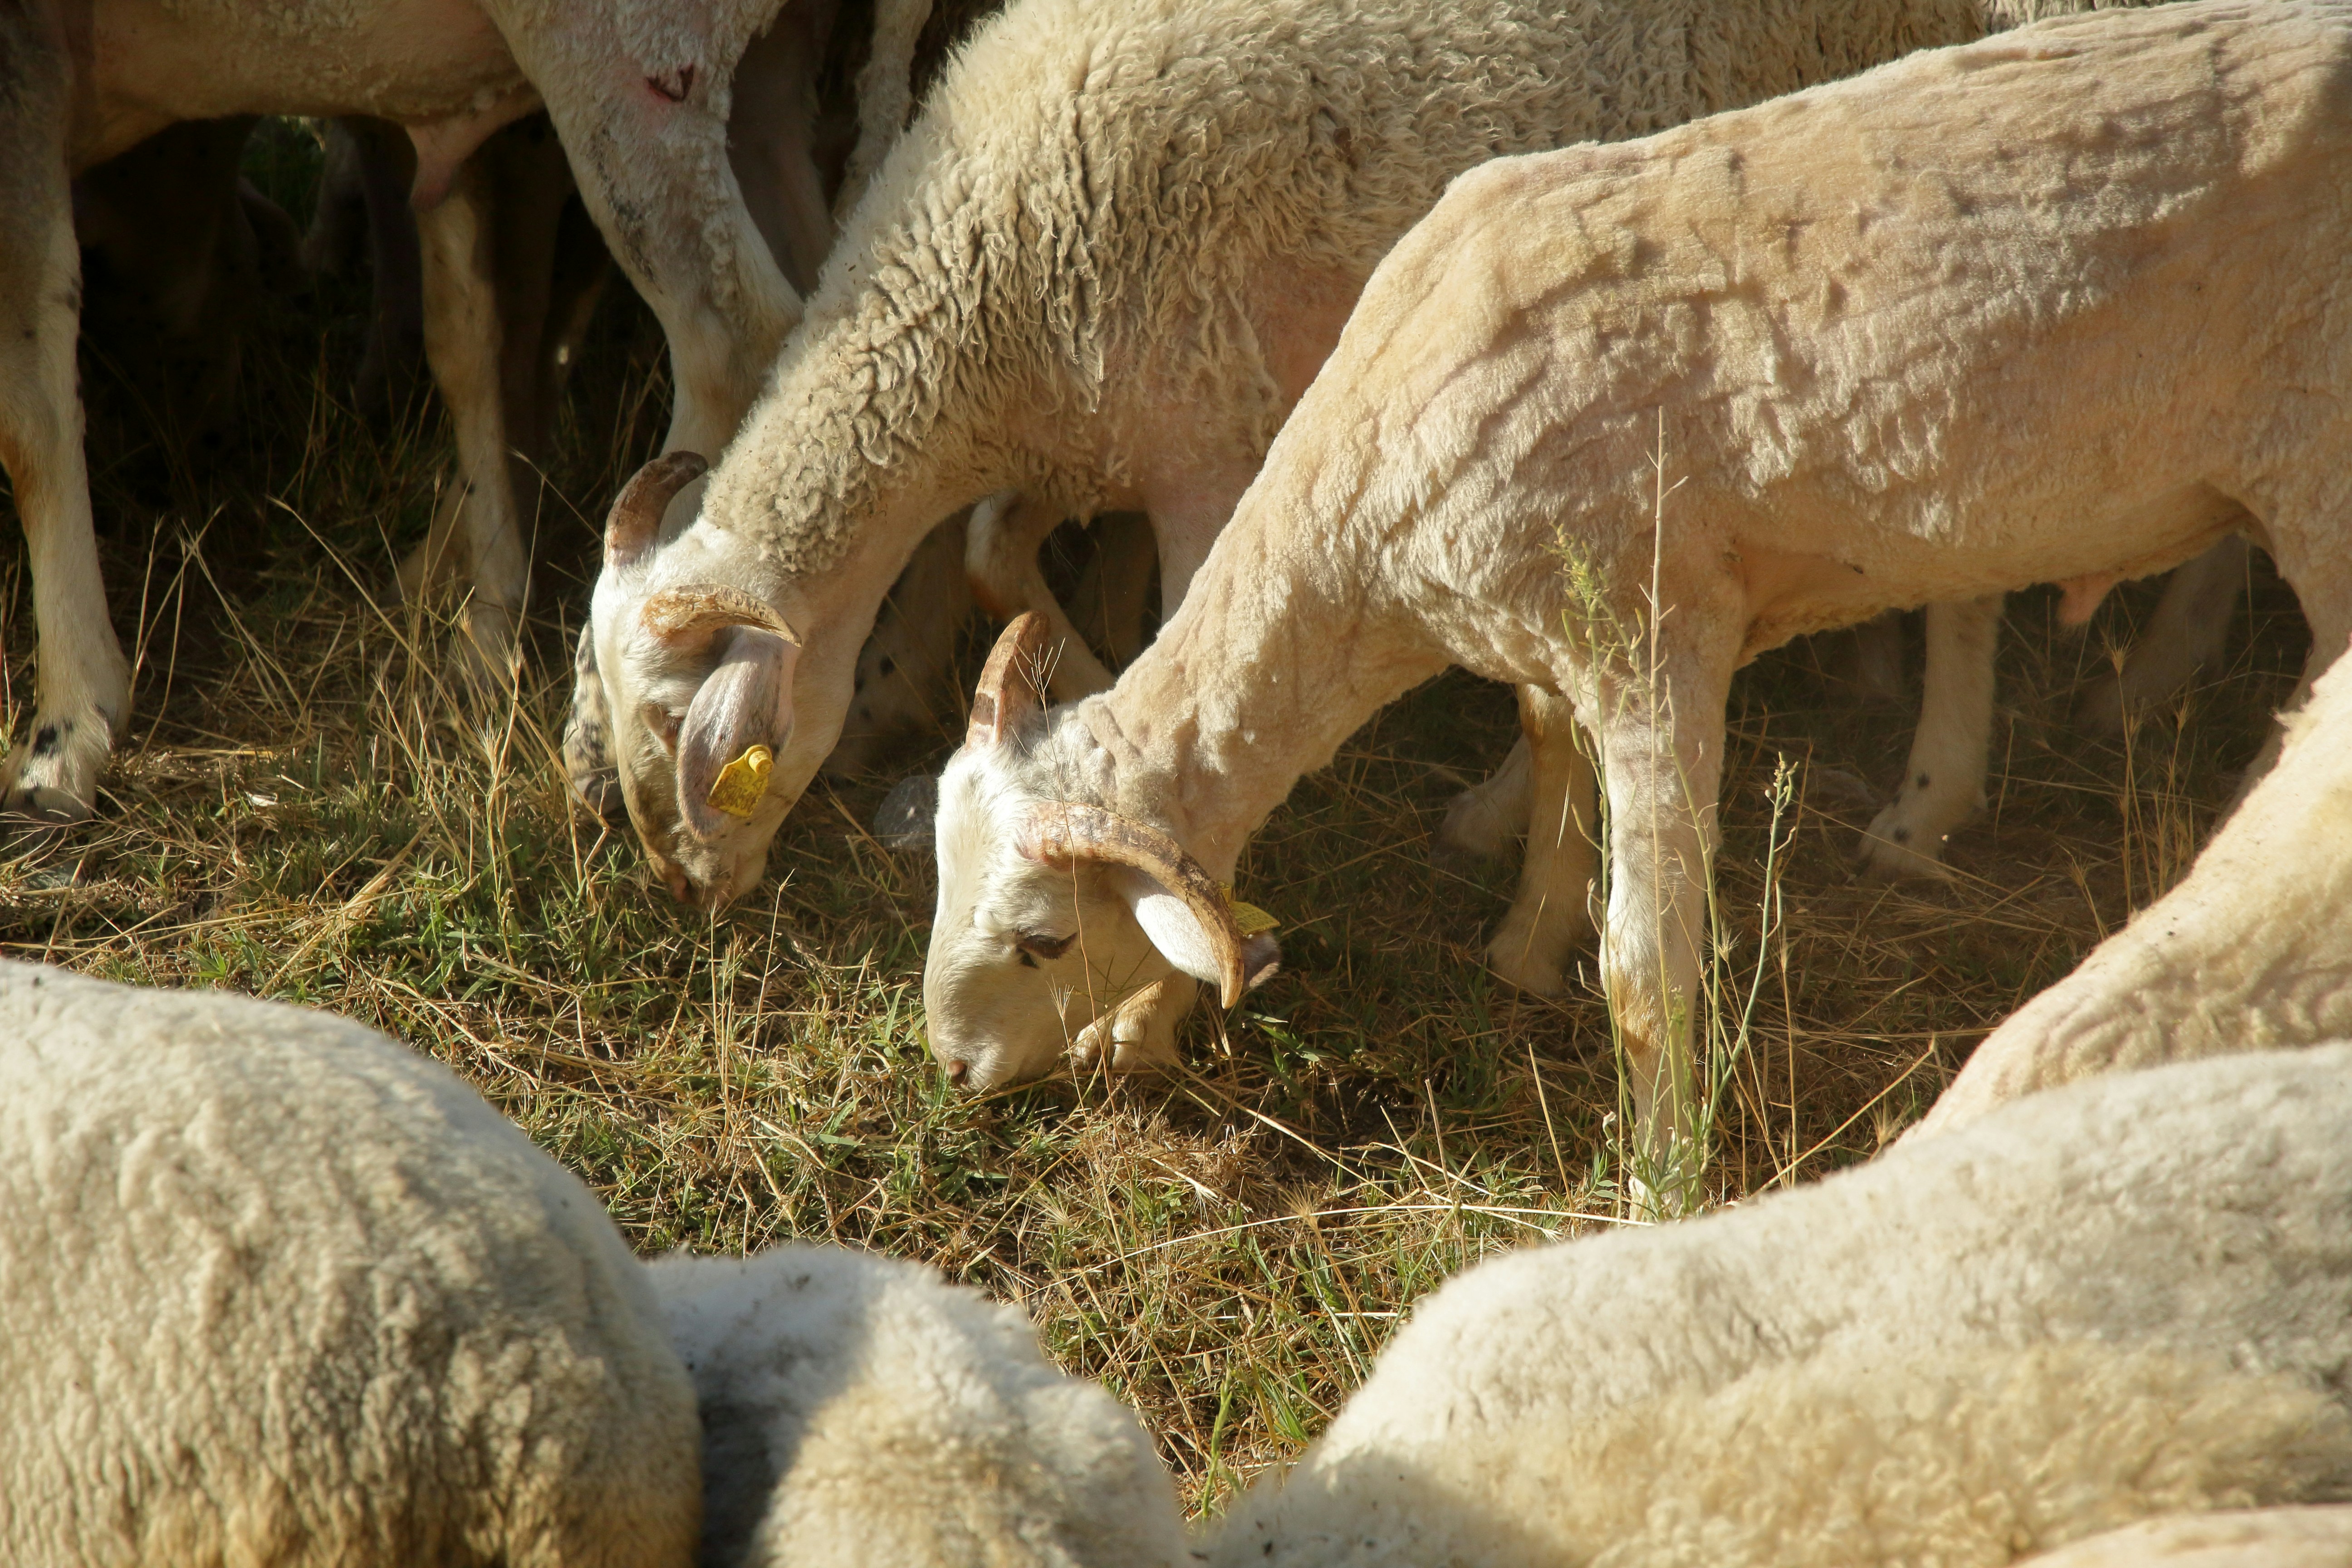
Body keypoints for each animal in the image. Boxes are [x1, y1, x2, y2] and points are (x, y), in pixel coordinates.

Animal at [581, 0, 2069, 915]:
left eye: (686, 732)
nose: (685, 891)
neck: (982, 287)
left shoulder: (1208, 441)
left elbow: (1186, 627)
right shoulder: (1091, 427)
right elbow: (1003, 552)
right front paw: (1073, 657)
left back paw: (1926, 800)